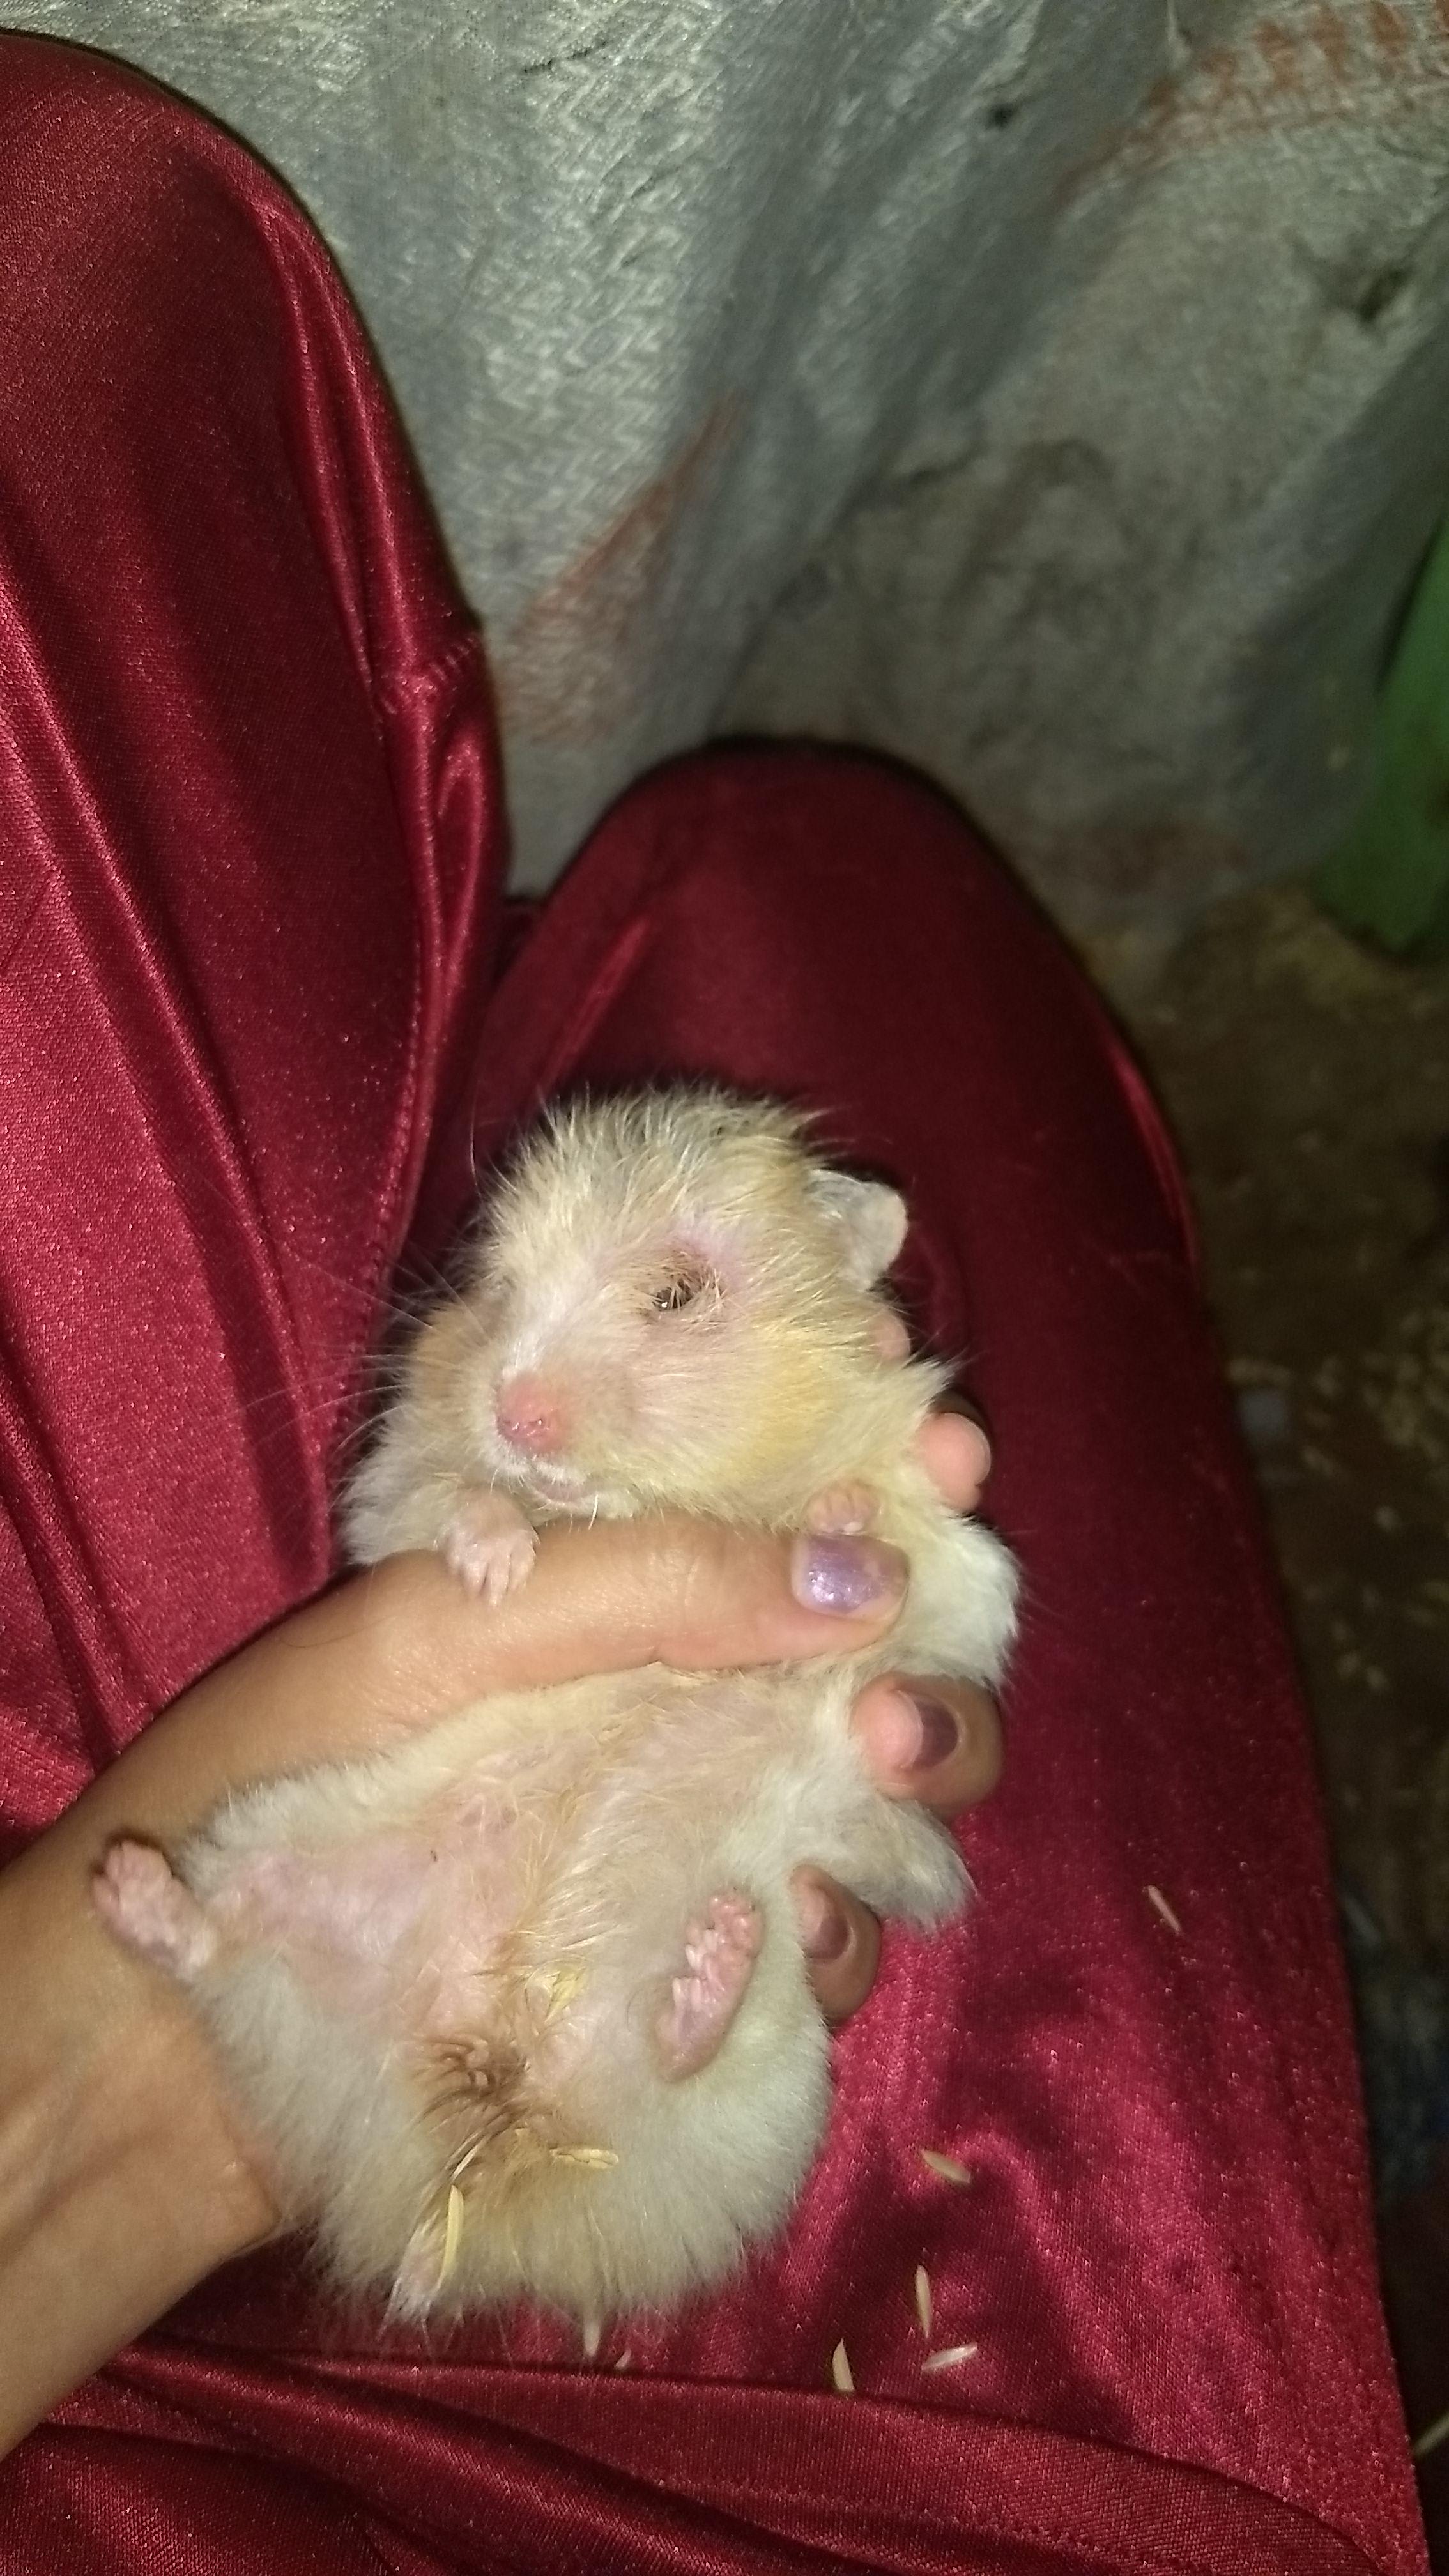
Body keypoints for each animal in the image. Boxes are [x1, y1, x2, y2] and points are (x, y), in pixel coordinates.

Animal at [94, 1090, 1017, 2329]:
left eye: (676, 1293)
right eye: (498, 1283)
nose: (516, 1413)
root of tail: (485, 2126)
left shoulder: (959, 1576)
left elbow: (906, 1553)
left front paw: (834, 1526)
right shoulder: (394, 1496)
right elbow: (441, 1499)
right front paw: (501, 1568)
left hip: (771, 2085)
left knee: (675, 2068)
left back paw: (707, 1971)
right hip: (278, 1840)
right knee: (224, 1945)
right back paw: (134, 1893)